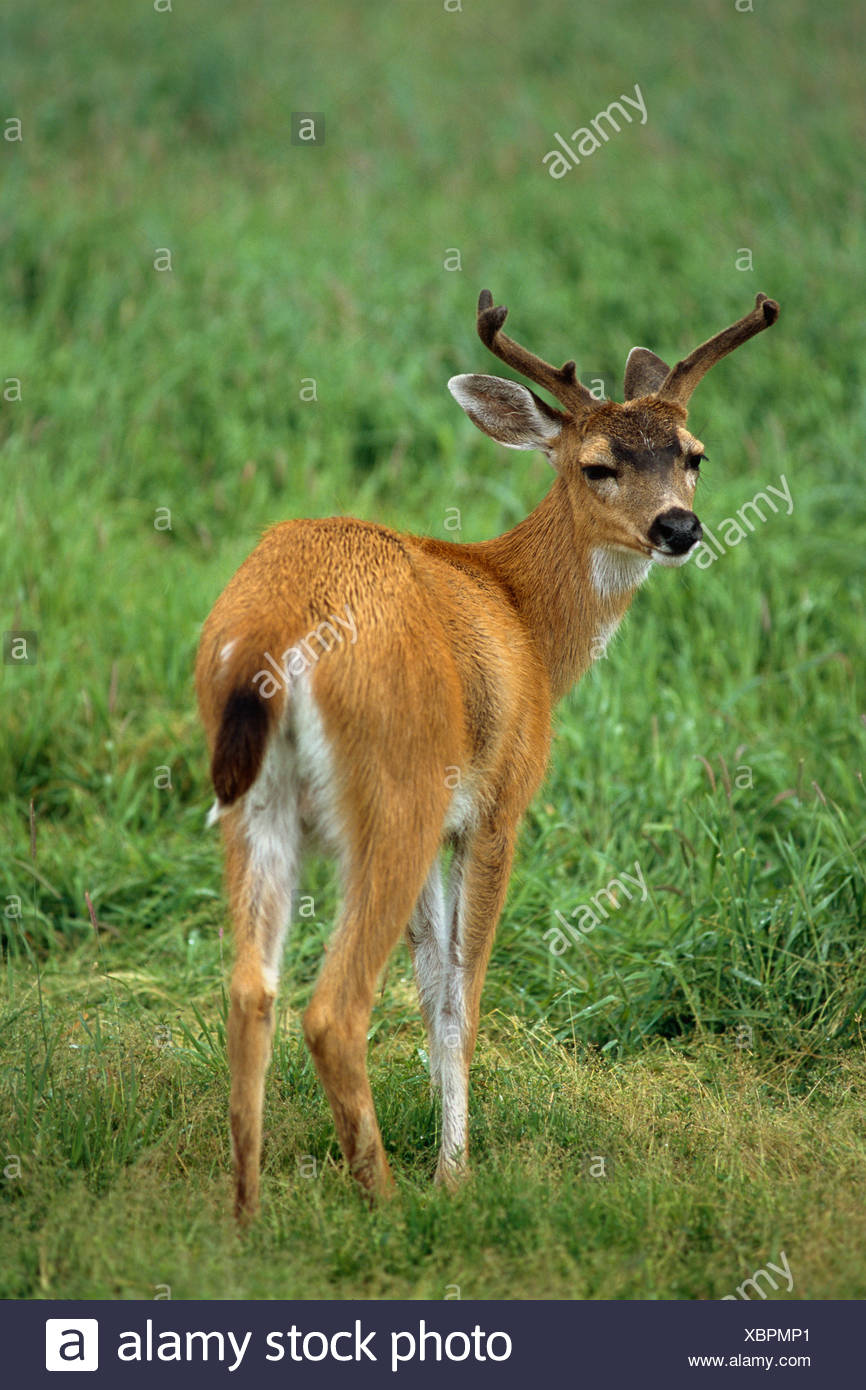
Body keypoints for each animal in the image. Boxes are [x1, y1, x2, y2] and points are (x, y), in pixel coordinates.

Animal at [195, 288, 779, 1220]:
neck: (524, 616)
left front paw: (448, 1146)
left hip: (255, 800)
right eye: (597, 465)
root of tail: (271, 634)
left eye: (694, 455)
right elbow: (461, 996)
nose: (679, 527)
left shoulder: (449, 822)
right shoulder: (497, 804)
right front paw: (455, 1171)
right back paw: (386, 1202)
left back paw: (246, 1218)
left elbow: (436, 983)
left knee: (251, 989)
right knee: (334, 1008)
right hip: (393, 793)